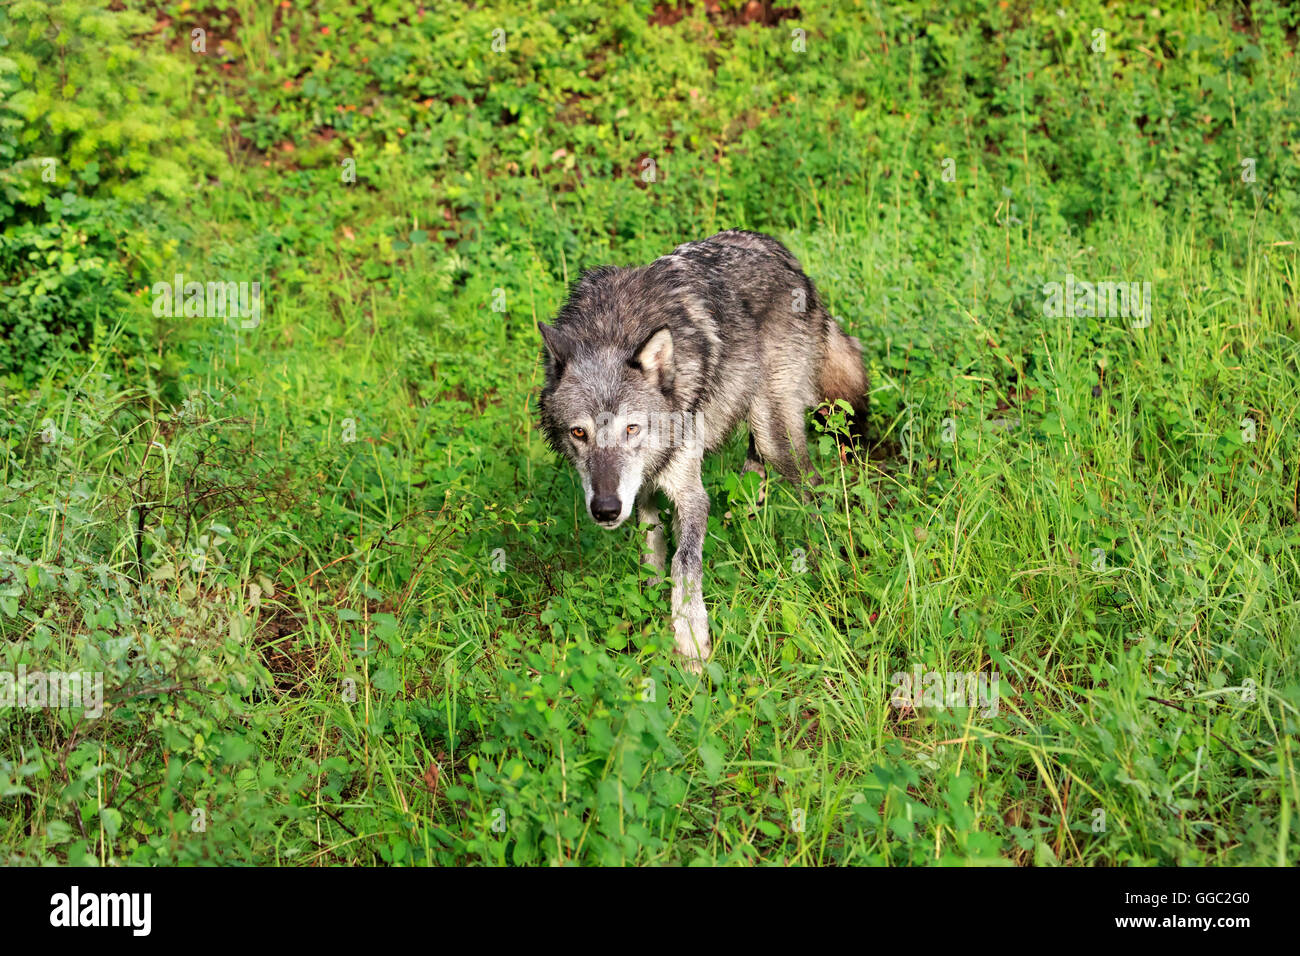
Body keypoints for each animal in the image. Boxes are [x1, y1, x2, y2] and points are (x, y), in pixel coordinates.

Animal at [537, 230, 868, 673]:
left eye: (631, 429)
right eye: (579, 433)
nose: (605, 509)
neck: (612, 330)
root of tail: (784, 253)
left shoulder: (689, 493)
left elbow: (684, 561)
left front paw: (692, 642)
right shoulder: (643, 492)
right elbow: (652, 552)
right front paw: (653, 613)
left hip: (775, 435)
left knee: (812, 487)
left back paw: (821, 556)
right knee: (753, 478)